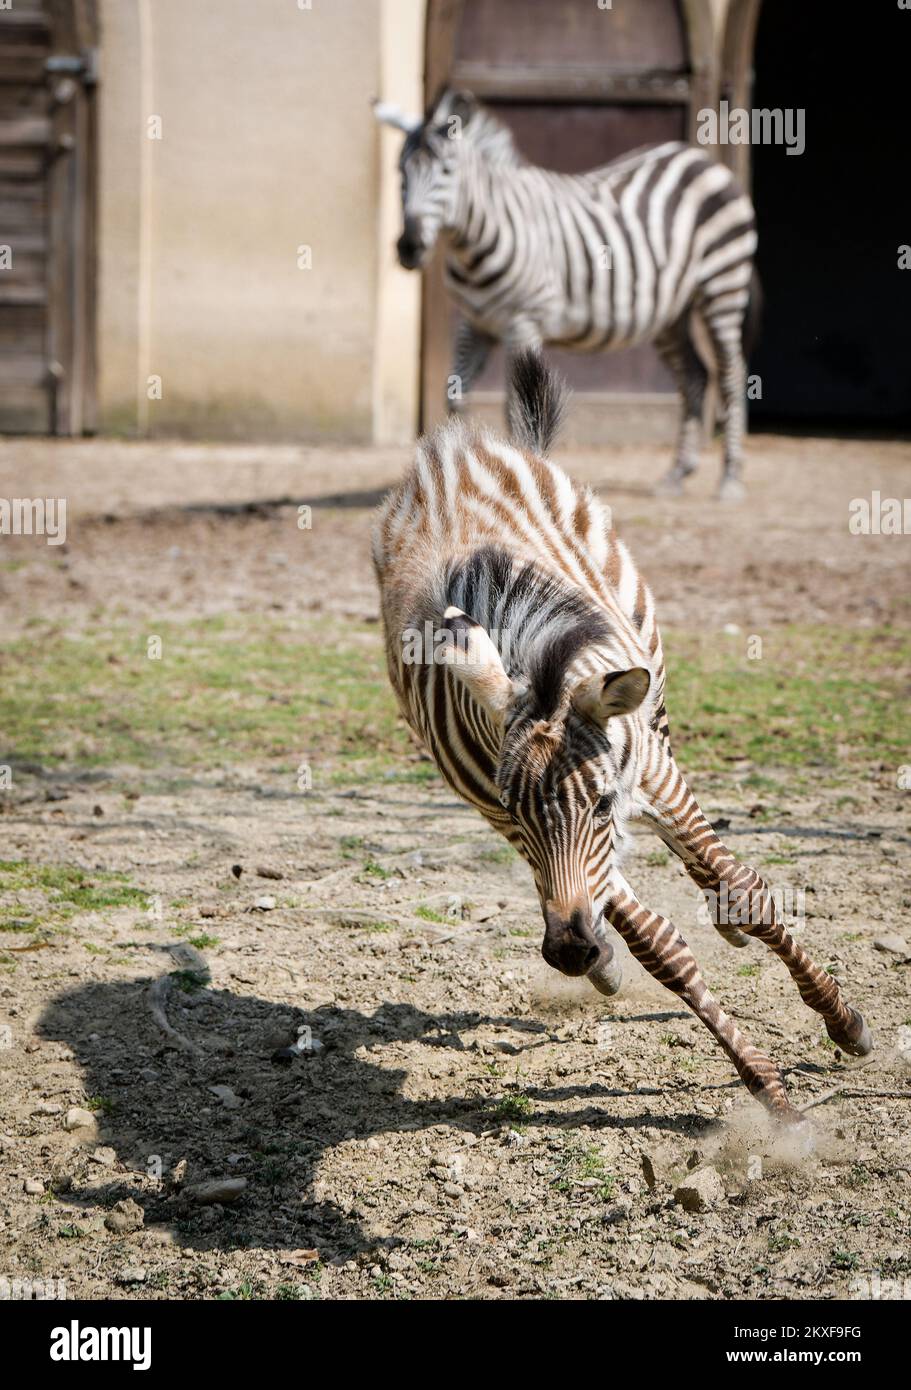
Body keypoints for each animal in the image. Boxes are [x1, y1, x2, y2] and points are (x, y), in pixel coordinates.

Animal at [373, 352, 872, 1125]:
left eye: (603, 804)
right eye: (517, 810)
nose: (572, 953)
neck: (537, 659)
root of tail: (457, 451)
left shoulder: (650, 779)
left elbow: (745, 890)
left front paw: (841, 1020)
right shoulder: (514, 821)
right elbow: (658, 946)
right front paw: (767, 1090)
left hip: (653, 694)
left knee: (711, 869)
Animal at [375, 88, 760, 501]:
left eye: (446, 172)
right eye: (400, 172)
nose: (409, 247)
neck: (479, 238)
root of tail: (701, 158)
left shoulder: (523, 322)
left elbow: (515, 408)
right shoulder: (474, 323)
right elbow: (455, 397)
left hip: (723, 285)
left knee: (731, 375)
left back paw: (731, 479)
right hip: (671, 313)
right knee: (695, 376)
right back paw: (677, 474)